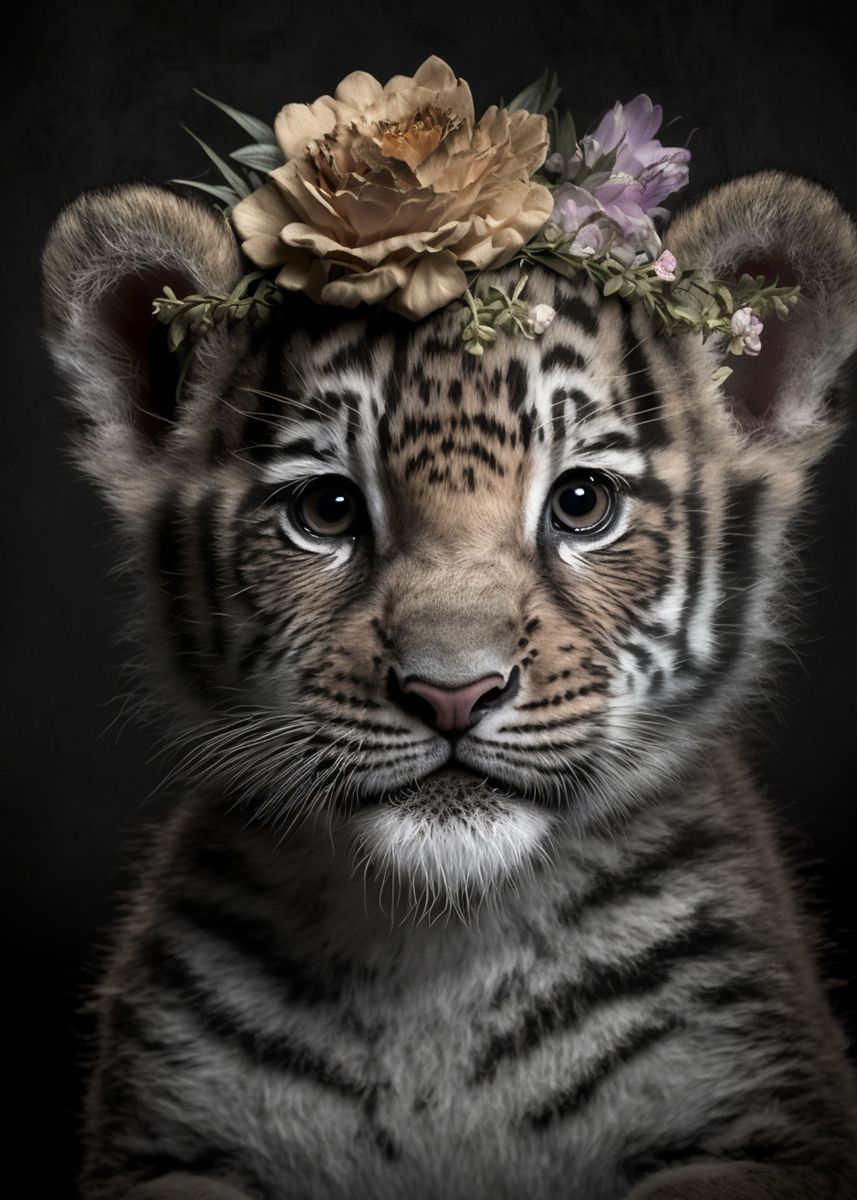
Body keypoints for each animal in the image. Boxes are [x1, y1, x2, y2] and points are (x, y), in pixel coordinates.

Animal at [42, 169, 857, 1200]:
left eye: (582, 503)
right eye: (327, 510)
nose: (451, 695)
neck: (441, 951)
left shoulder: (749, 1121)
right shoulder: (169, 1146)